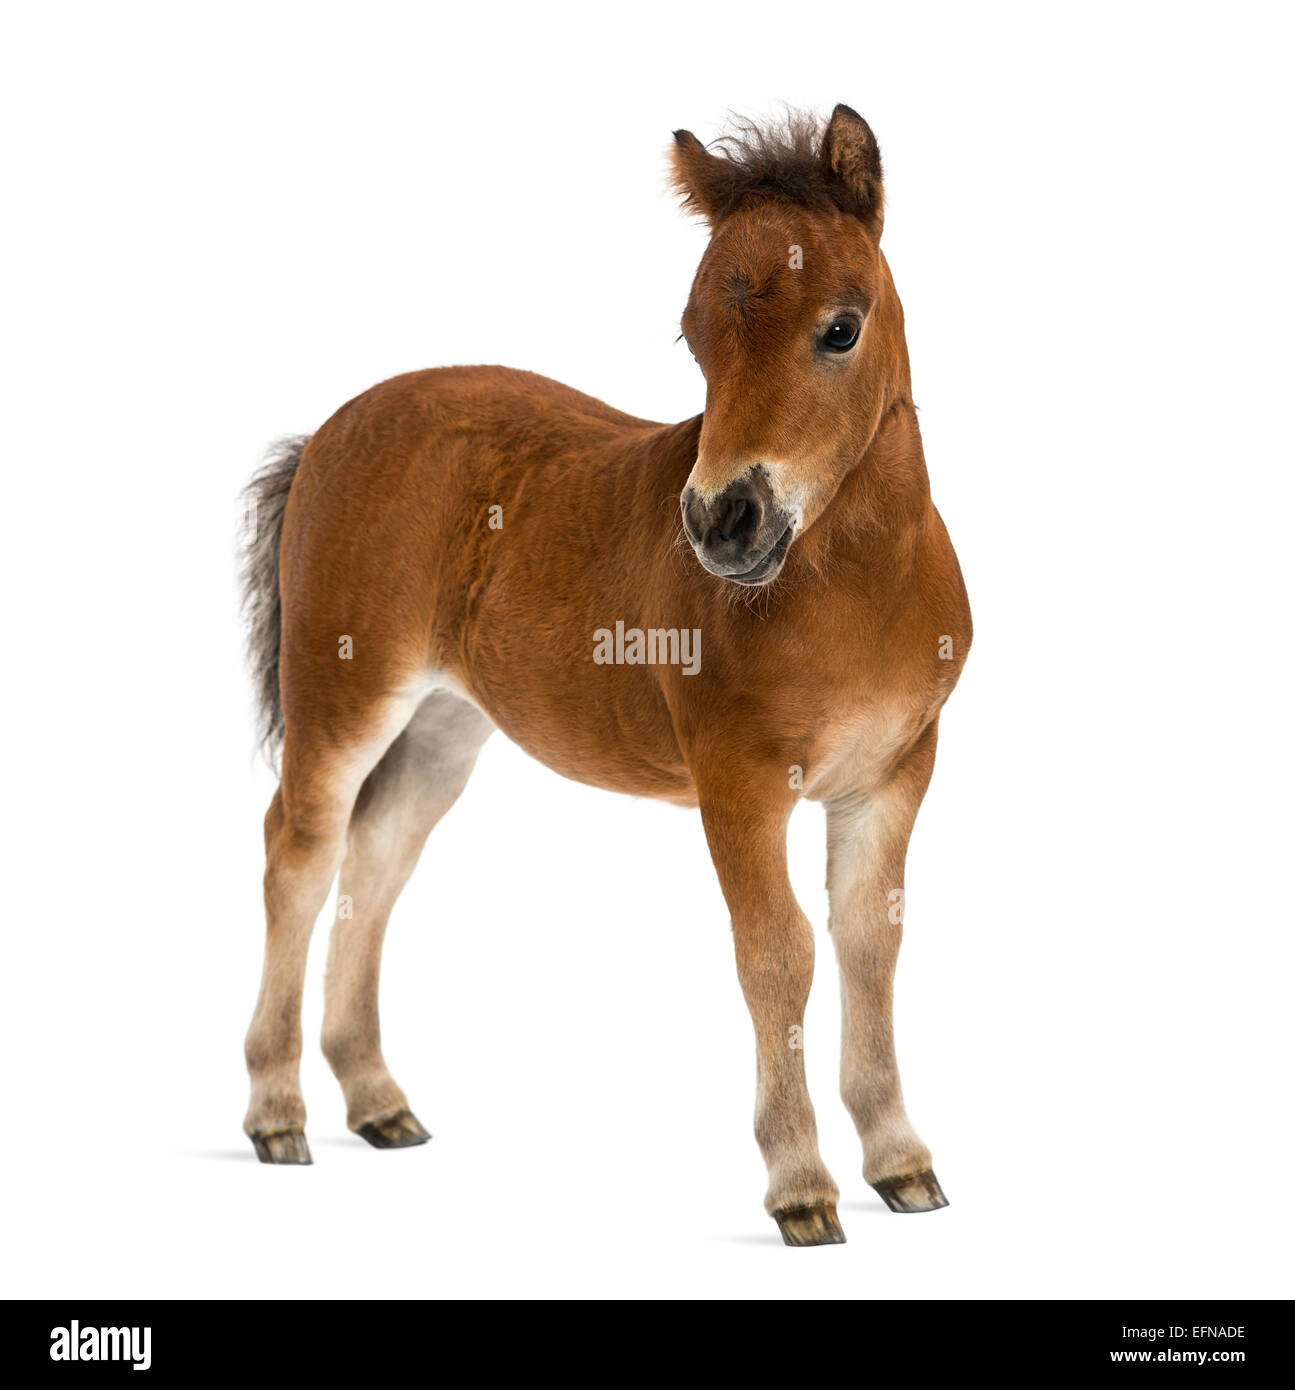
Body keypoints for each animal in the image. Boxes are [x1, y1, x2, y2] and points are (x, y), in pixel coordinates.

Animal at [239, 104, 972, 1247]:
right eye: (692, 332)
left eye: (840, 328)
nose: (723, 523)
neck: (858, 588)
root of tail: (330, 430)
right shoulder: (738, 780)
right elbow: (778, 953)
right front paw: (800, 1188)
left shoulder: (894, 773)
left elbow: (867, 945)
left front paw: (900, 1163)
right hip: (343, 694)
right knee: (300, 856)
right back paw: (277, 1115)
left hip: (443, 727)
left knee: (378, 859)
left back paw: (379, 1103)